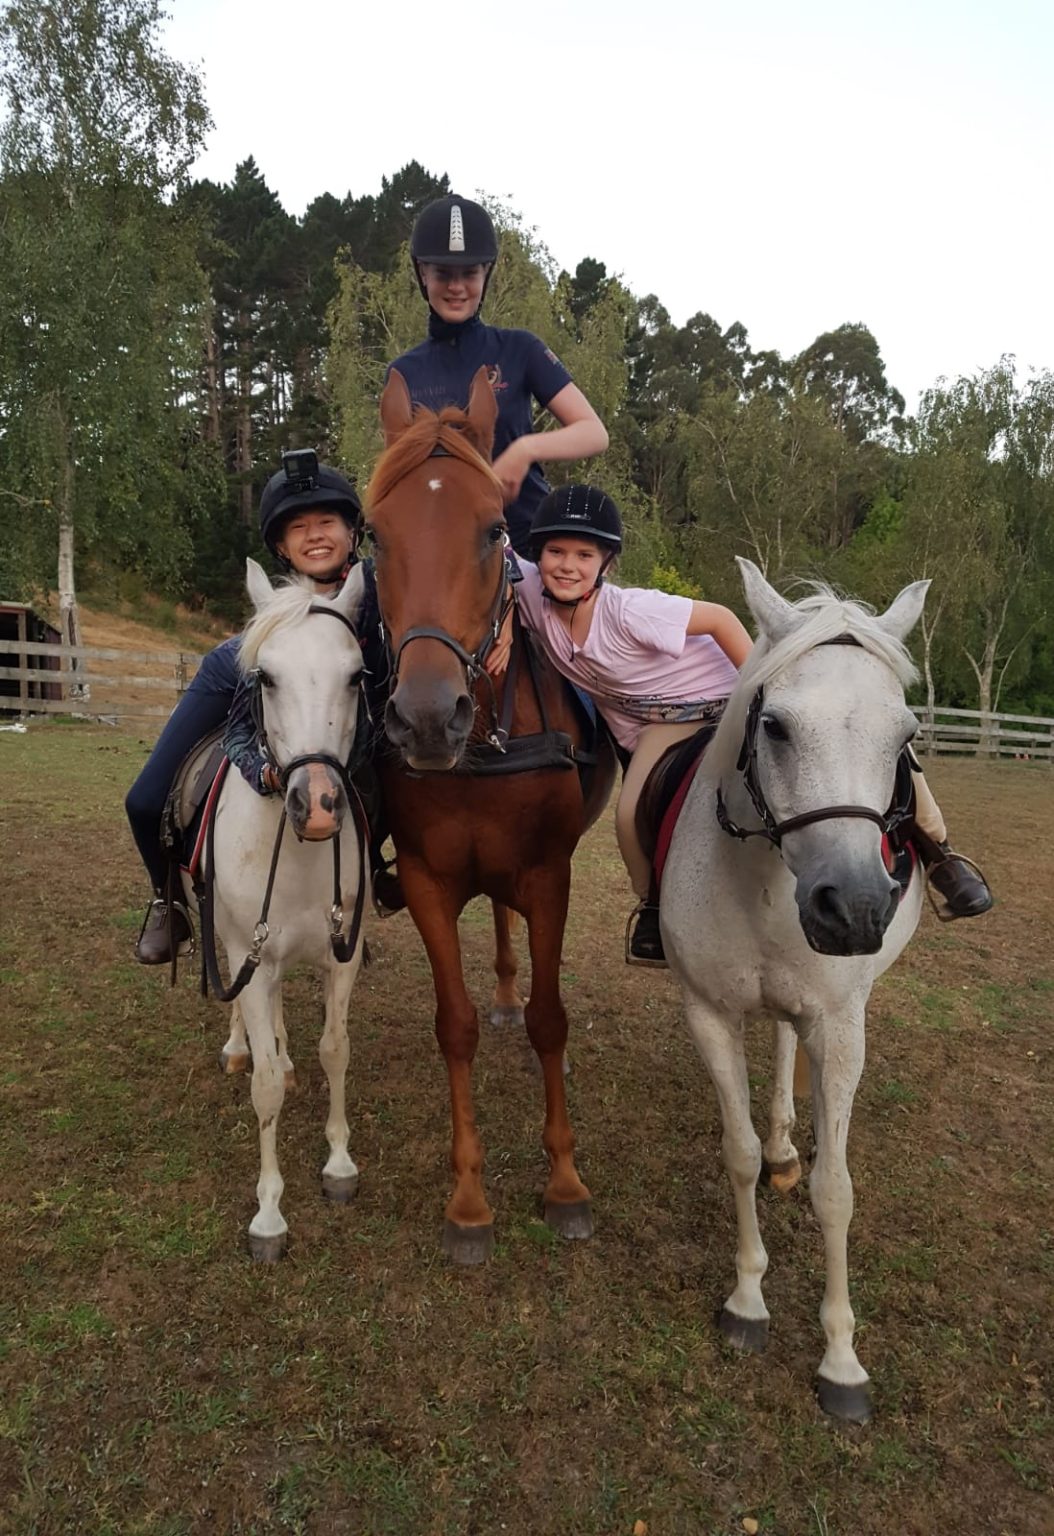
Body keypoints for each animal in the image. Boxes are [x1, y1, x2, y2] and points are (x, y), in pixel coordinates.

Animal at [185, 559, 370, 1260]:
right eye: (265, 677)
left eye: (356, 675)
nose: (315, 805)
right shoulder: (251, 956)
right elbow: (262, 1087)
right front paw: (268, 1215)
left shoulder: (343, 956)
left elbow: (335, 1050)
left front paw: (339, 1164)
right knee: (243, 1011)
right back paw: (241, 1046)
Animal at [365, 366, 616, 1264]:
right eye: (375, 535)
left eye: (493, 529)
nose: (427, 718)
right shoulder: (429, 882)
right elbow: (457, 1026)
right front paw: (469, 1199)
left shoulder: (549, 874)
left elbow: (550, 1020)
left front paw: (566, 1184)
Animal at [661, 557, 929, 1423]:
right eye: (774, 725)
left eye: (906, 738)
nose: (855, 910)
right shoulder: (709, 1013)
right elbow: (739, 1153)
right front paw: (747, 1300)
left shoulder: (840, 1028)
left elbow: (835, 1191)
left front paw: (842, 1361)